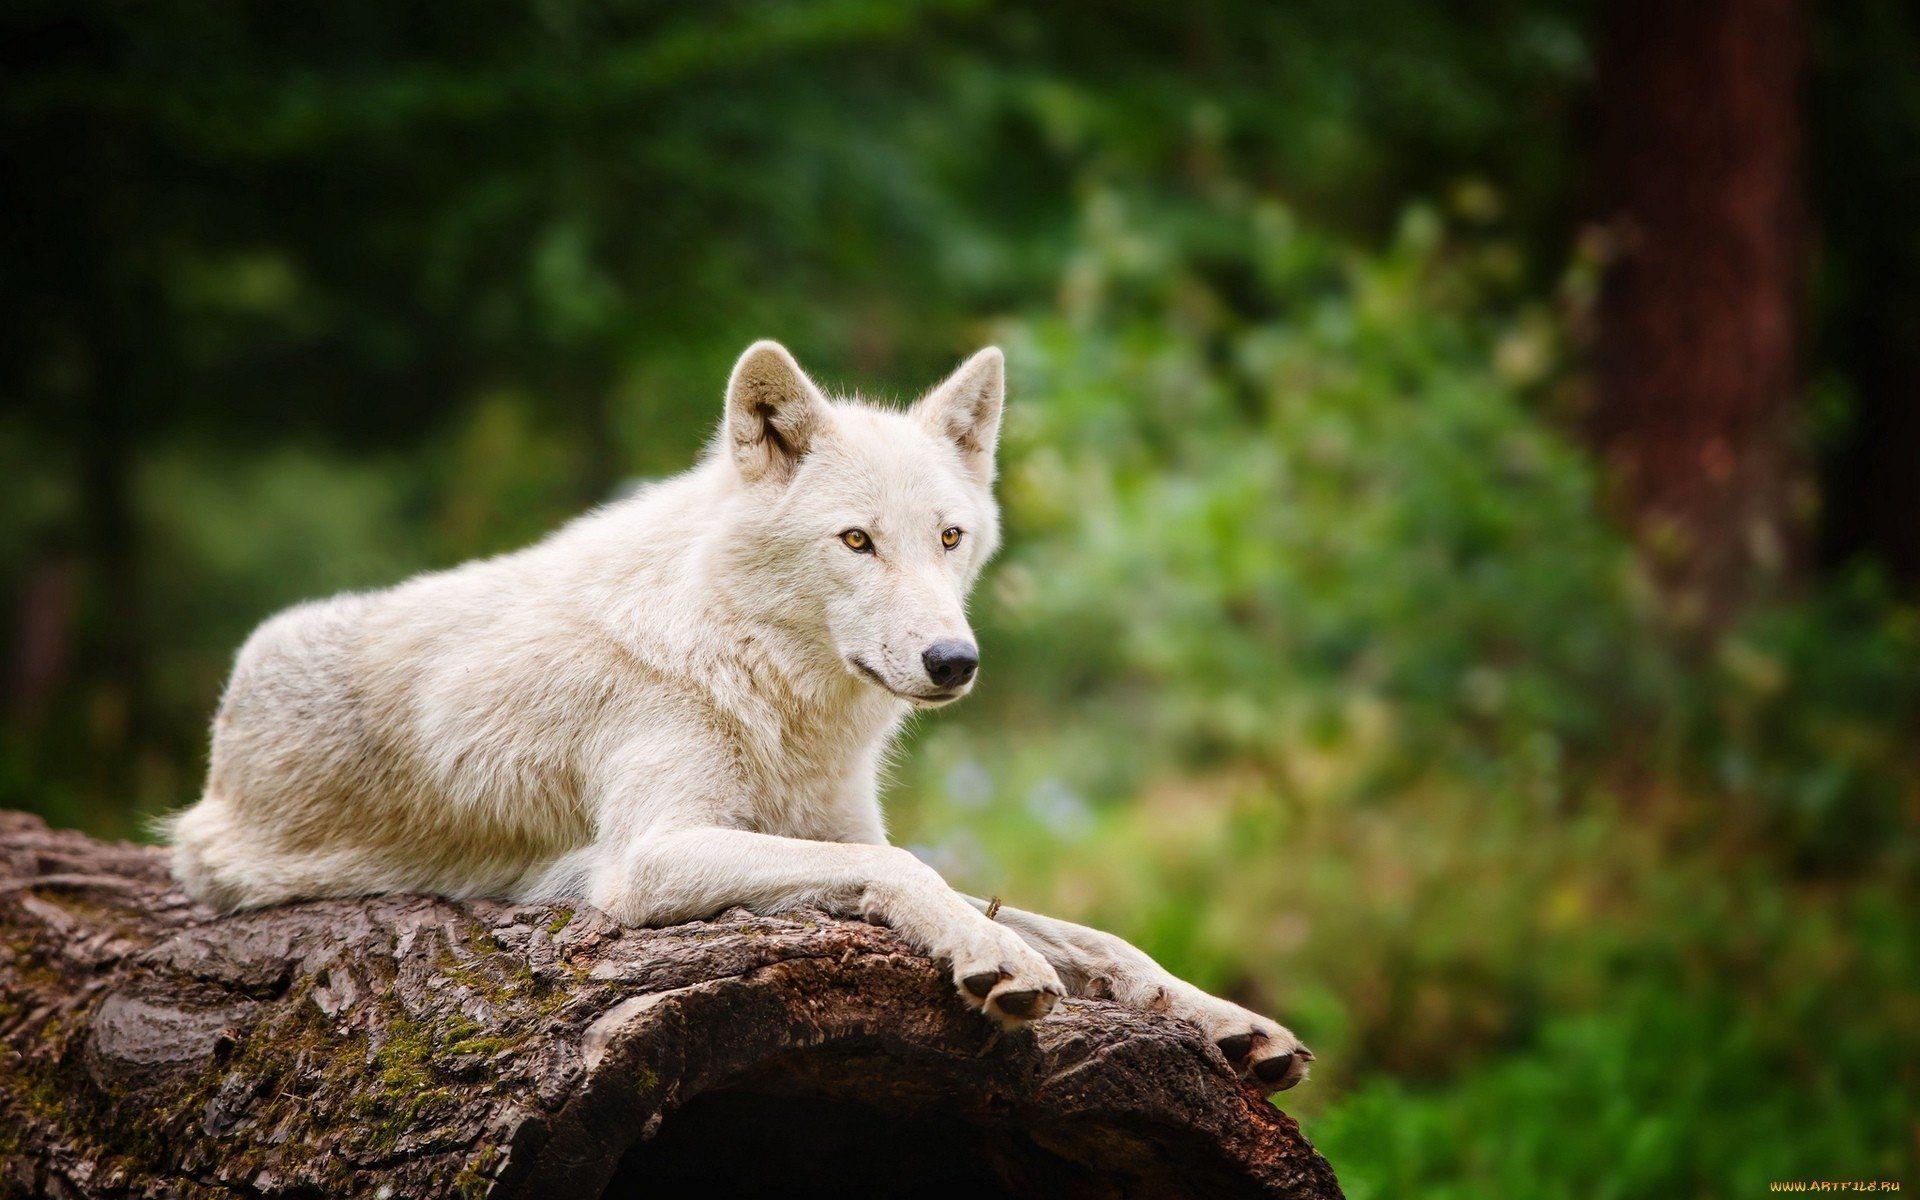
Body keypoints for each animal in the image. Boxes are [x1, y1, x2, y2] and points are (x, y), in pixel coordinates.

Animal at [164, 341, 1310, 1090]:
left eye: (948, 537)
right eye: (856, 541)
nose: (954, 661)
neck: (755, 676)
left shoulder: (831, 825)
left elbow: (1093, 934)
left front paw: (1229, 1021)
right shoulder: (649, 859)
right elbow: (910, 874)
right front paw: (997, 960)